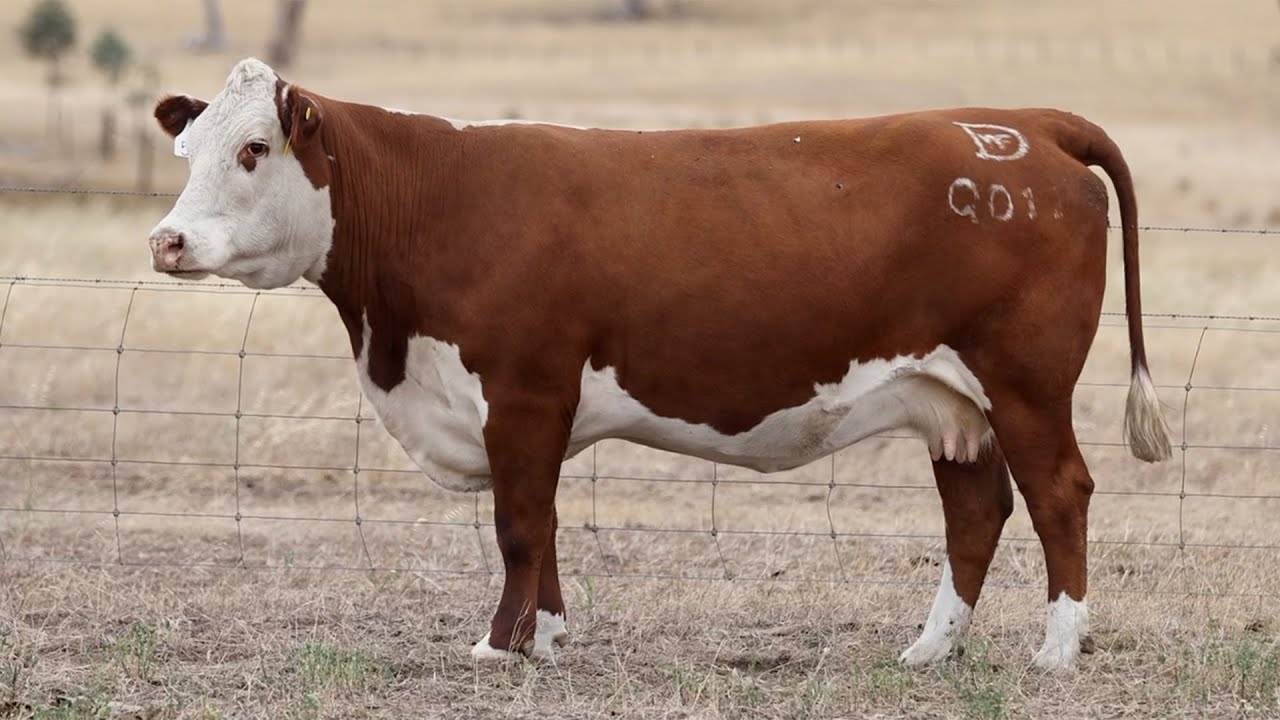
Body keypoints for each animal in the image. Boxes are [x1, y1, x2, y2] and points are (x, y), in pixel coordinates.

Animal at [147, 57, 1172, 670]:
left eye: (255, 148)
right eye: (187, 148)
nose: (167, 241)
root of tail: (1020, 121)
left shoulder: (524, 389)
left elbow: (518, 523)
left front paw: (499, 646)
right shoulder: (531, 410)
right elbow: (545, 524)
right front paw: (547, 638)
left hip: (1025, 385)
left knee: (1059, 493)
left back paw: (1057, 651)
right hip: (950, 400)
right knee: (977, 510)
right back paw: (929, 651)